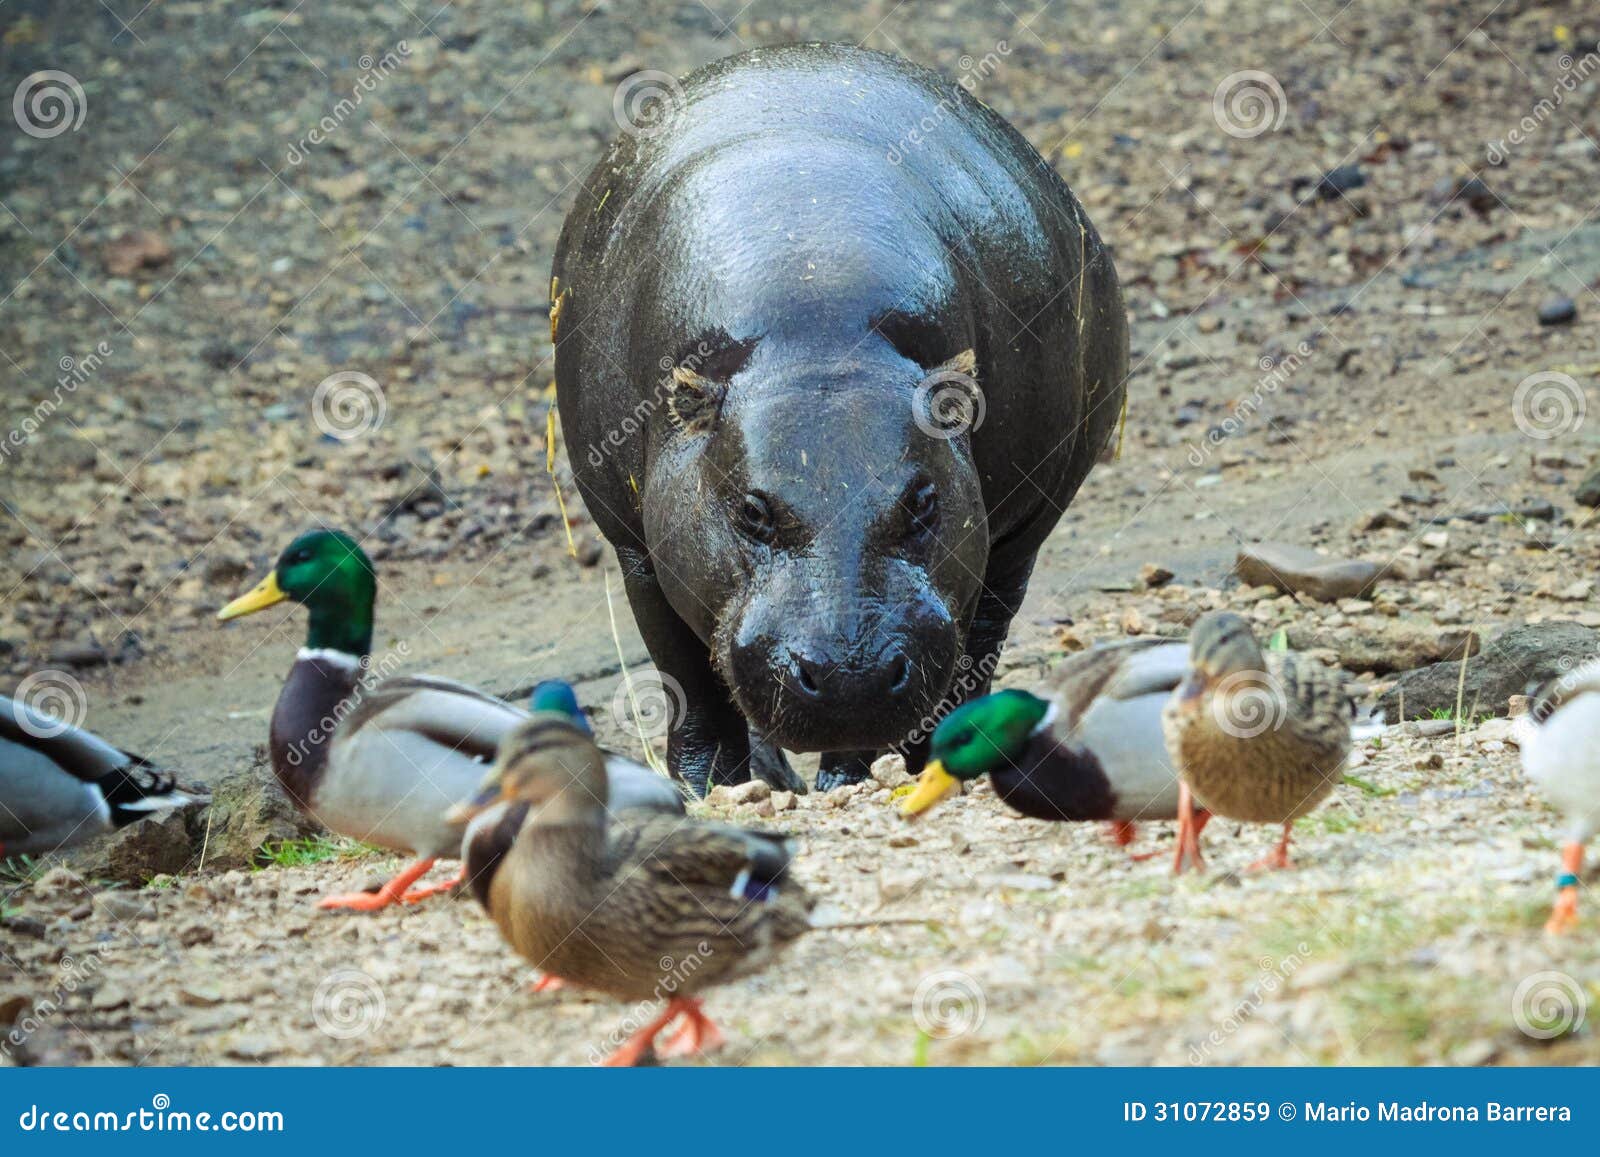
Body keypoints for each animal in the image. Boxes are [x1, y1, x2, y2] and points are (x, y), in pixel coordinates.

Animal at [552, 43, 1127, 795]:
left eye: (923, 502)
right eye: (752, 512)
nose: (851, 676)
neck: (812, 310)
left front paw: (849, 781)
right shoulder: (638, 550)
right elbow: (689, 683)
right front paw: (708, 789)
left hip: (1020, 536)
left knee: (980, 641)